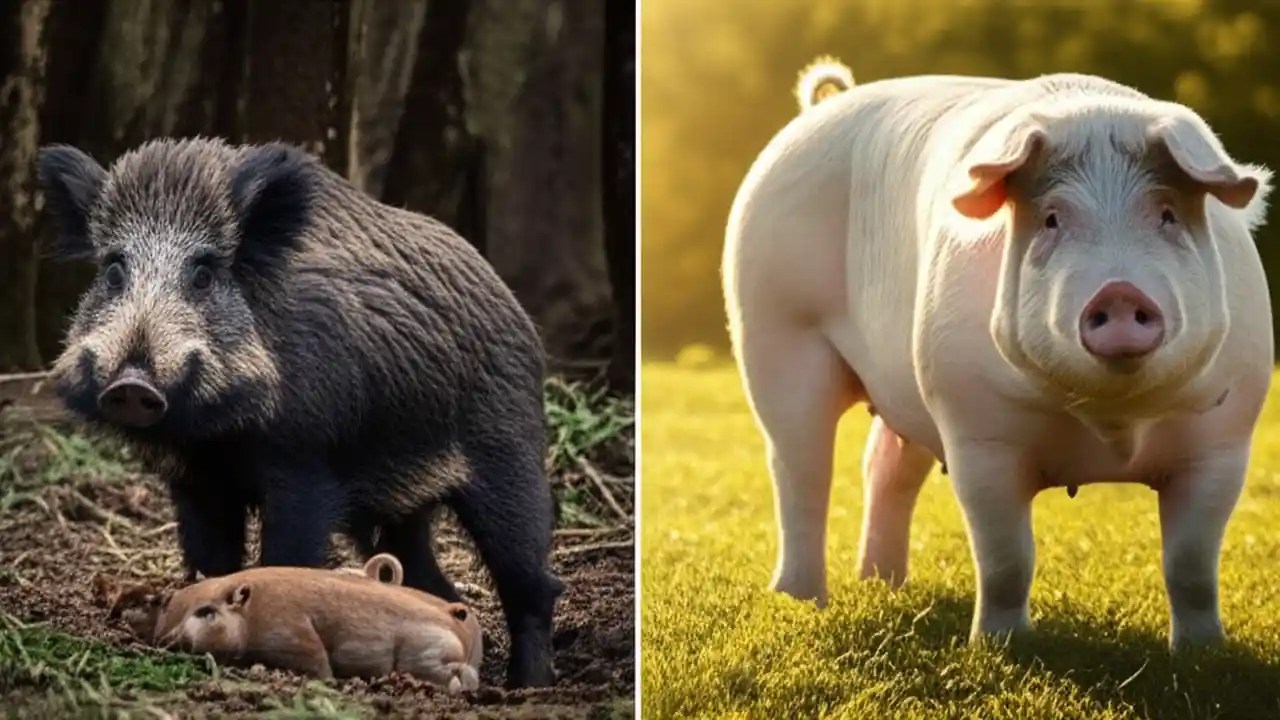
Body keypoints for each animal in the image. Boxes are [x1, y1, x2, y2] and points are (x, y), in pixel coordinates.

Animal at [151, 566, 481, 691]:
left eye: (206, 612)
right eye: (172, 605)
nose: (164, 639)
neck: (252, 616)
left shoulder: (293, 634)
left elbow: (318, 664)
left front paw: (328, 680)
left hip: (426, 653)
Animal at [722, 59, 1273, 649]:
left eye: (1167, 214)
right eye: (1052, 219)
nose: (1119, 292)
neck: (1110, 425)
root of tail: (821, 108)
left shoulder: (1224, 438)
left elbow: (1190, 563)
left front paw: (1201, 653)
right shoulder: (978, 433)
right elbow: (1007, 557)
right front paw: (998, 646)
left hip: (901, 387)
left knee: (884, 466)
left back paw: (884, 584)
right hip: (774, 329)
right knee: (800, 470)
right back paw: (800, 599)